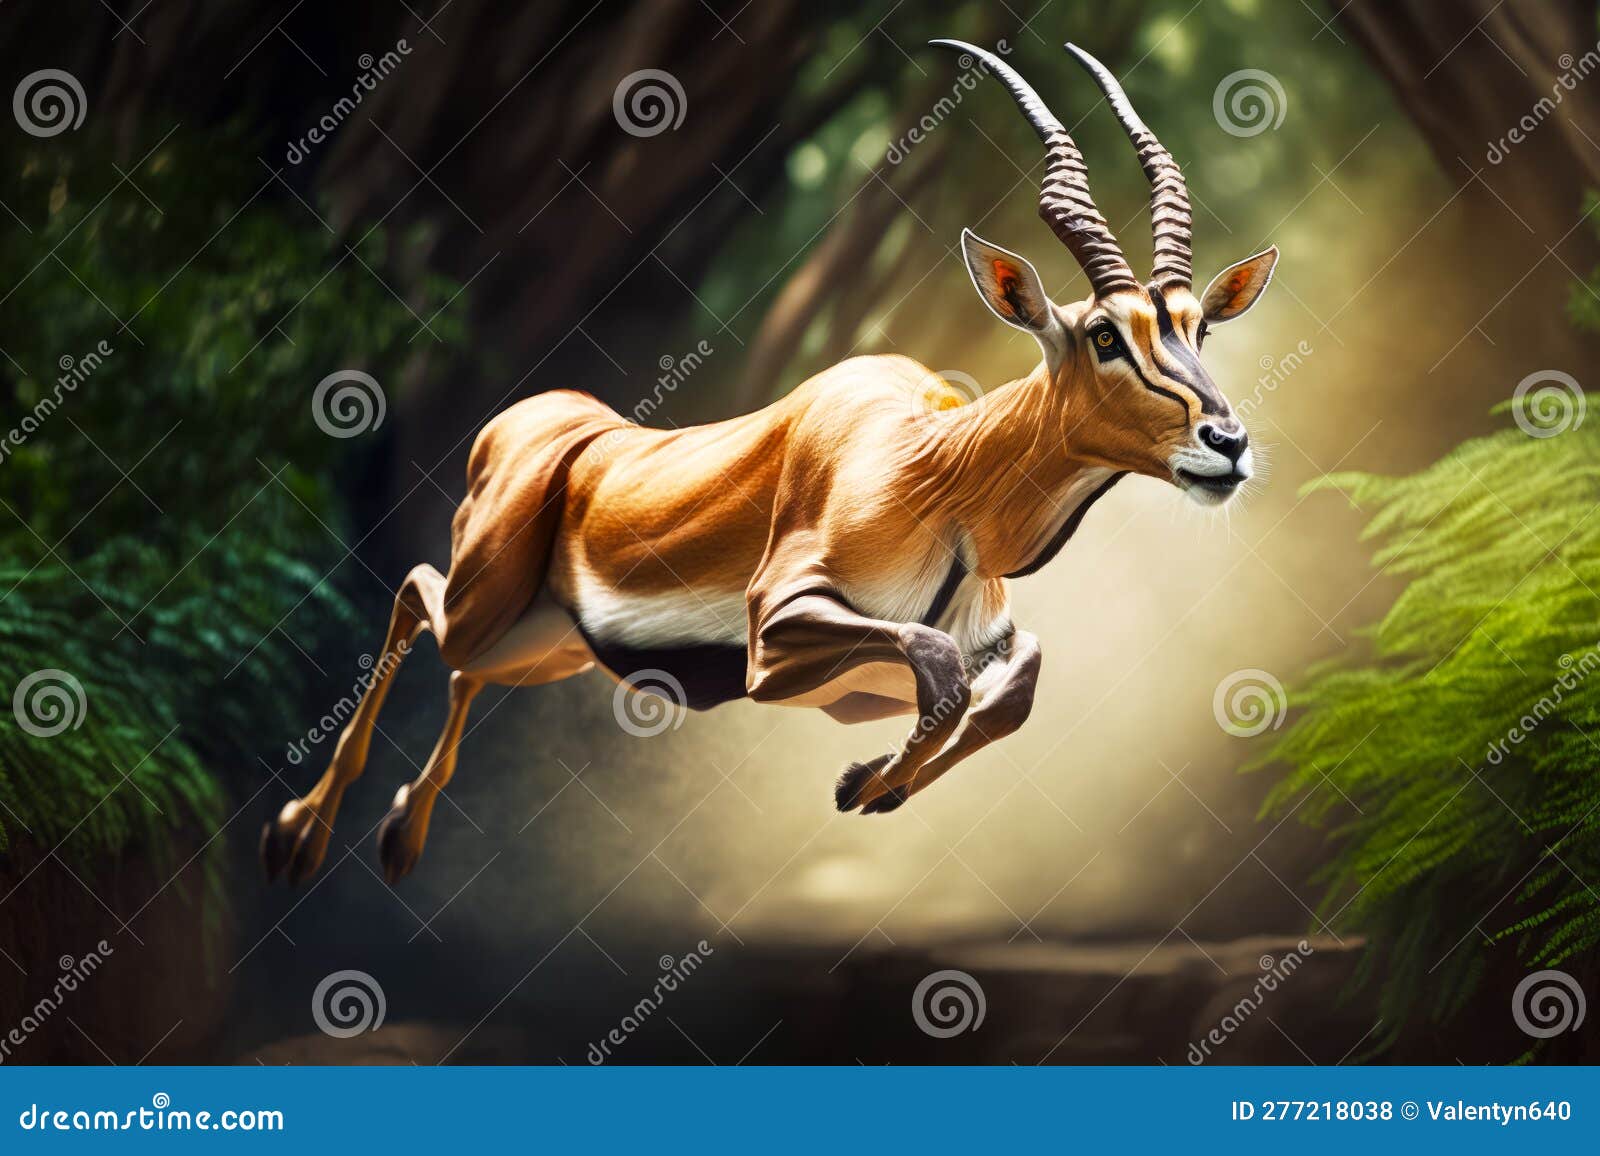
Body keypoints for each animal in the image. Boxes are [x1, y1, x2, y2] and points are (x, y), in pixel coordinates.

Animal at [262, 40, 1280, 886]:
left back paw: (399, 837)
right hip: (485, 604)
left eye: (1198, 326)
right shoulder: (774, 636)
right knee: (414, 592)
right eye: (1105, 333)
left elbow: (1010, 680)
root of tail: (530, 423)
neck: (939, 479)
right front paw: (868, 782)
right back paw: (298, 838)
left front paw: (869, 783)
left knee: (462, 668)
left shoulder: (896, 673)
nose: (1227, 444)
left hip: (545, 645)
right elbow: (941, 663)